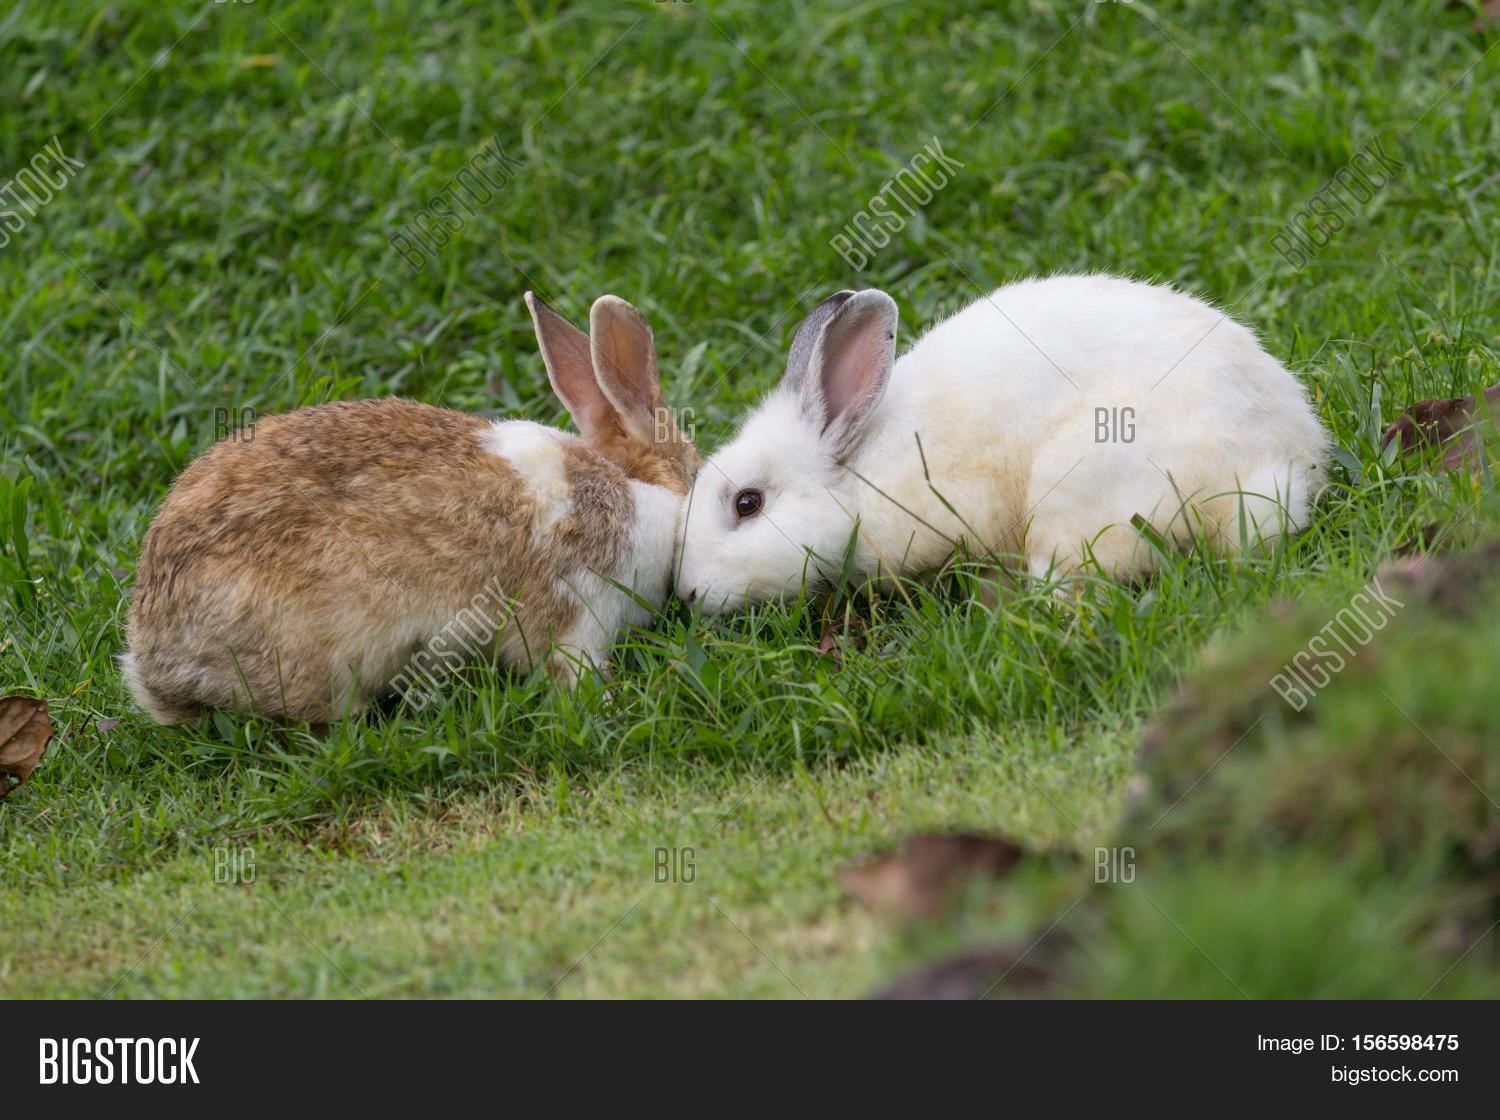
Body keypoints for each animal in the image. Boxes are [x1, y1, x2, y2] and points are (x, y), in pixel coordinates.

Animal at [121, 292, 700, 723]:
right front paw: (614, 701)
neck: (636, 487)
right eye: (696, 472)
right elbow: (570, 668)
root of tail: (155, 664)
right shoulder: (578, 612)